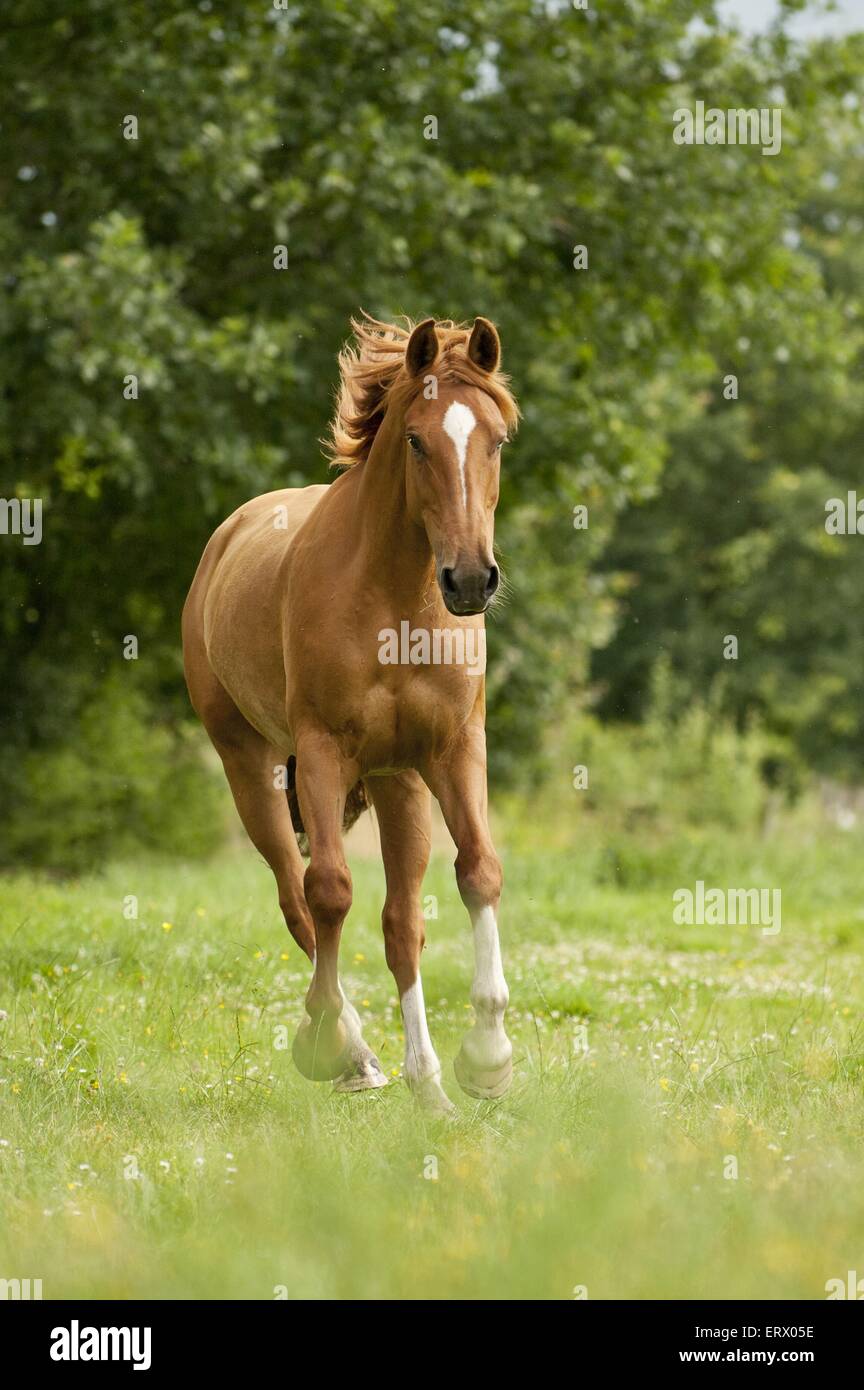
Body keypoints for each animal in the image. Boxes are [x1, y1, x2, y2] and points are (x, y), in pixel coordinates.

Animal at [182, 314, 520, 1113]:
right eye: (417, 440)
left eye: (496, 439)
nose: (469, 579)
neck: (395, 595)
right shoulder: (322, 753)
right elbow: (330, 892)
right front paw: (328, 1044)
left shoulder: (451, 751)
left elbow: (477, 873)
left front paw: (487, 1058)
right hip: (251, 770)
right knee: (297, 898)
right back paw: (357, 1054)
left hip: (398, 784)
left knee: (402, 925)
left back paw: (426, 1083)